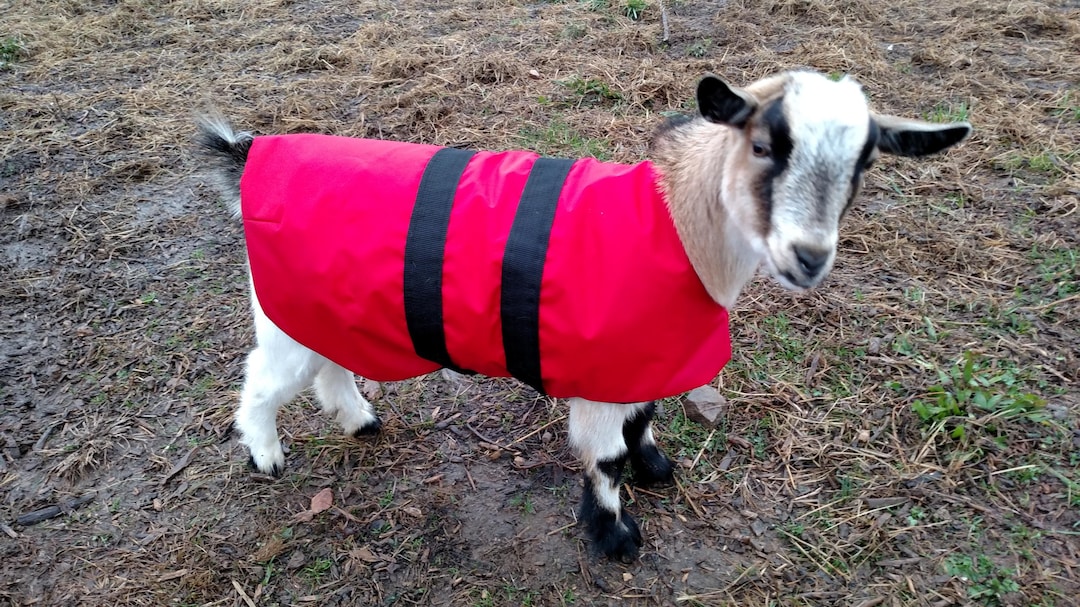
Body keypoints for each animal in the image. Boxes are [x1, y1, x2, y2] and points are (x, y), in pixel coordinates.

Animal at [196, 70, 970, 562]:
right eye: (763, 146)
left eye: (865, 163)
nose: (809, 257)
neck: (674, 226)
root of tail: (251, 154)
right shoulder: (603, 373)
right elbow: (606, 456)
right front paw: (613, 535)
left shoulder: (643, 356)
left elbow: (644, 420)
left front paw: (657, 468)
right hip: (284, 315)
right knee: (263, 381)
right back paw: (265, 453)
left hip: (328, 306)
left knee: (328, 366)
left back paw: (359, 419)